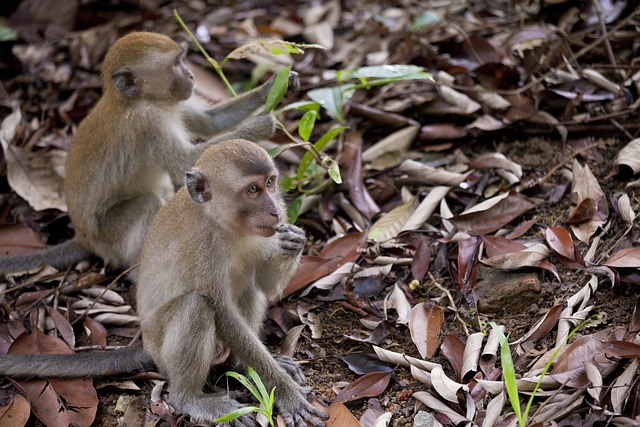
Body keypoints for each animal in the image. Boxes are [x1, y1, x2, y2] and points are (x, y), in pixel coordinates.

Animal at [0, 31, 297, 276]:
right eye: (176, 63)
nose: (191, 76)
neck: (134, 100)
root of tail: (83, 237)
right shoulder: (148, 122)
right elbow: (186, 162)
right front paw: (263, 124)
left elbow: (211, 123)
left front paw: (273, 86)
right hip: (110, 237)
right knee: (148, 202)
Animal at [0, 139, 327, 427]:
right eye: (253, 189)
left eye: (271, 183)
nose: (276, 210)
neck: (223, 223)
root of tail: (146, 344)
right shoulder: (202, 245)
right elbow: (223, 313)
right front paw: (288, 395)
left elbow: (263, 286)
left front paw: (294, 242)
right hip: (162, 347)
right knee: (197, 306)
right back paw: (190, 399)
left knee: (246, 287)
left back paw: (238, 366)